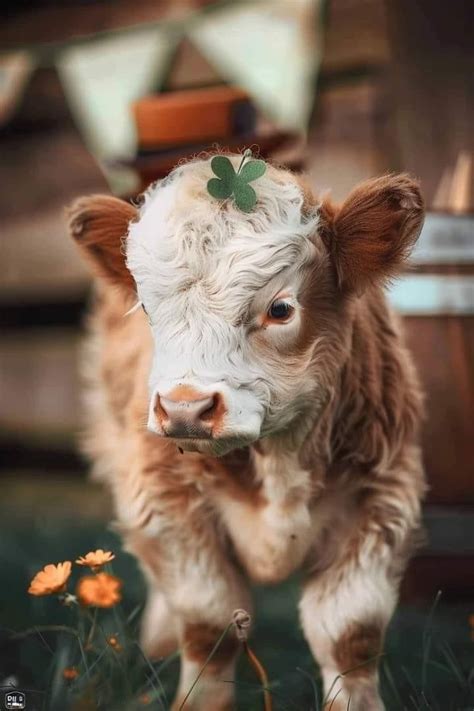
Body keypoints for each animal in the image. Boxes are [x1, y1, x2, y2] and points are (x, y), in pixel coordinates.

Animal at [68, 155, 426, 711]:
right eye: (147, 308)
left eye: (280, 309)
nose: (185, 408)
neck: (281, 462)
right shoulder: (165, 501)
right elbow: (209, 625)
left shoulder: (383, 497)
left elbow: (350, 634)